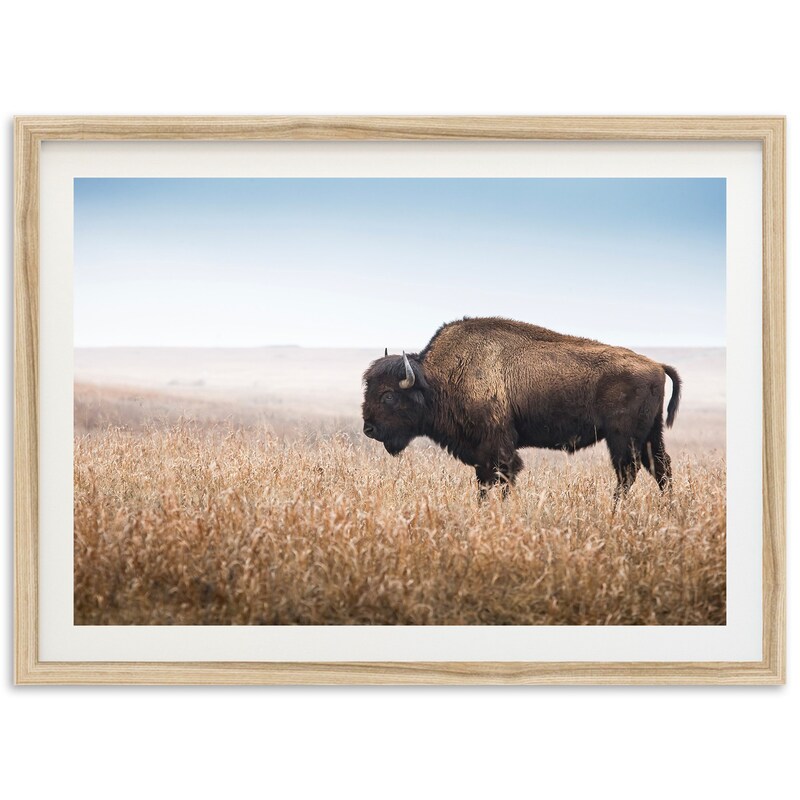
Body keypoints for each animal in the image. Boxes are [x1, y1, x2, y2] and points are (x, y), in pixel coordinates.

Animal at [361, 317, 681, 502]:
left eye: (388, 395)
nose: (368, 428)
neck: (438, 379)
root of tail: (656, 365)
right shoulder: (482, 453)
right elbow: (484, 482)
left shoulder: (497, 446)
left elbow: (502, 477)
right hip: (650, 435)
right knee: (661, 468)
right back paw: (667, 508)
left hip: (622, 438)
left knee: (628, 472)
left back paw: (616, 509)